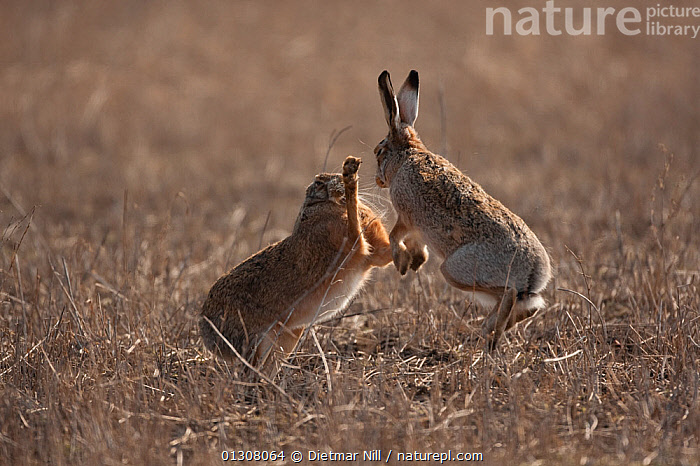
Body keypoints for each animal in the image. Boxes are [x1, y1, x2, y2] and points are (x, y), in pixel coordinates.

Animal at [200, 156, 392, 375]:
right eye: (319, 182)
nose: (340, 182)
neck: (319, 203)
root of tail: (206, 331)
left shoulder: (374, 255)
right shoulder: (350, 242)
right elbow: (354, 228)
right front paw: (351, 177)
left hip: (286, 338)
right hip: (259, 341)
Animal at [374, 70, 552, 350]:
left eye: (378, 152)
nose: (378, 180)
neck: (408, 156)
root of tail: (535, 271)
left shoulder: (406, 216)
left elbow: (394, 236)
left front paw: (402, 264)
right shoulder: (418, 228)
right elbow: (415, 243)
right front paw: (417, 261)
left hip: (456, 270)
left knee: (509, 294)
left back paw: (488, 329)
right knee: (529, 306)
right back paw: (495, 328)